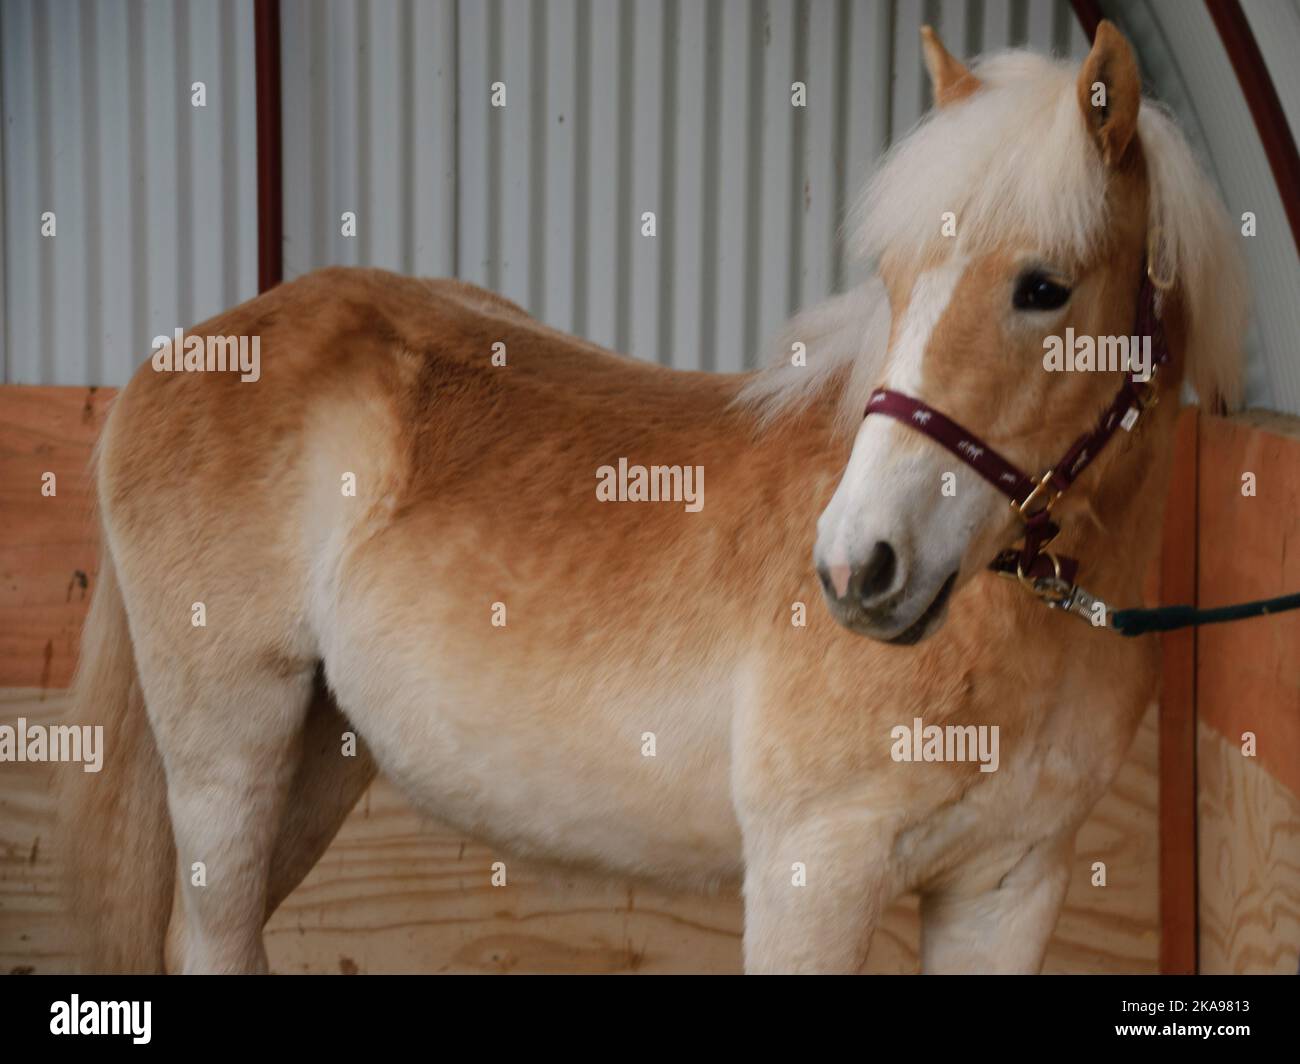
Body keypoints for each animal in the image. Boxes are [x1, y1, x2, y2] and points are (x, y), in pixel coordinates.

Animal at [64, 21, 1246, 974]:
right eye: (896, 282)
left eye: (1045, 288)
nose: (858, 566)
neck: (1013, 633)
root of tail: (180, 354)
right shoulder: (814, 872)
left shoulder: (1005, 887)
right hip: (227, 750)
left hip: (318, 752)